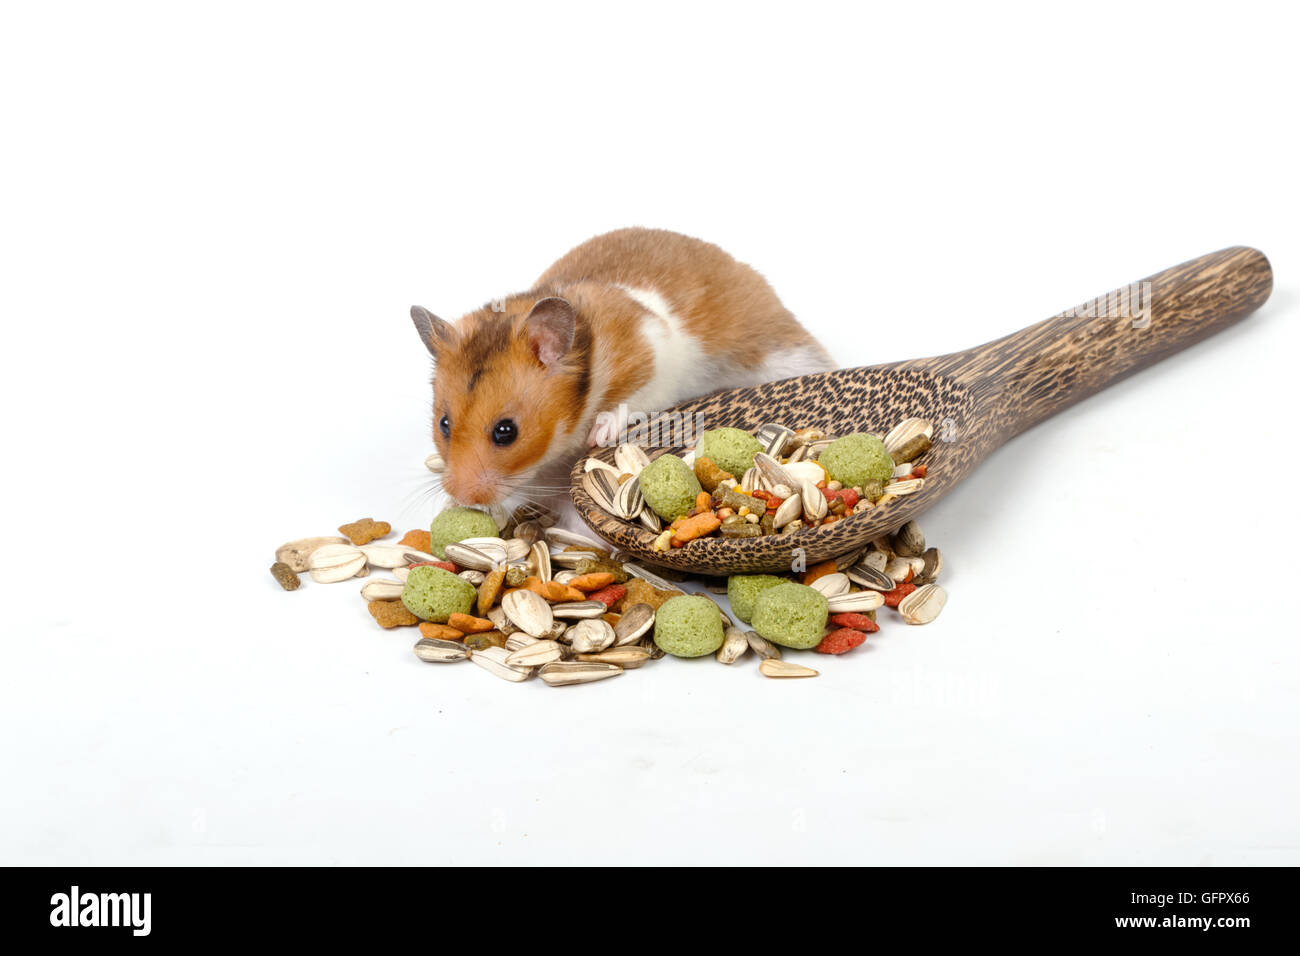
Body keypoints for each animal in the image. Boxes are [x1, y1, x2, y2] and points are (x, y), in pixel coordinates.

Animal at [410, 227, 834, 515]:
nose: (462, 497)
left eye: (505, 431)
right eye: (444, 424)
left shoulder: (650, 359)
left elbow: (627, 403)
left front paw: (598, 434)